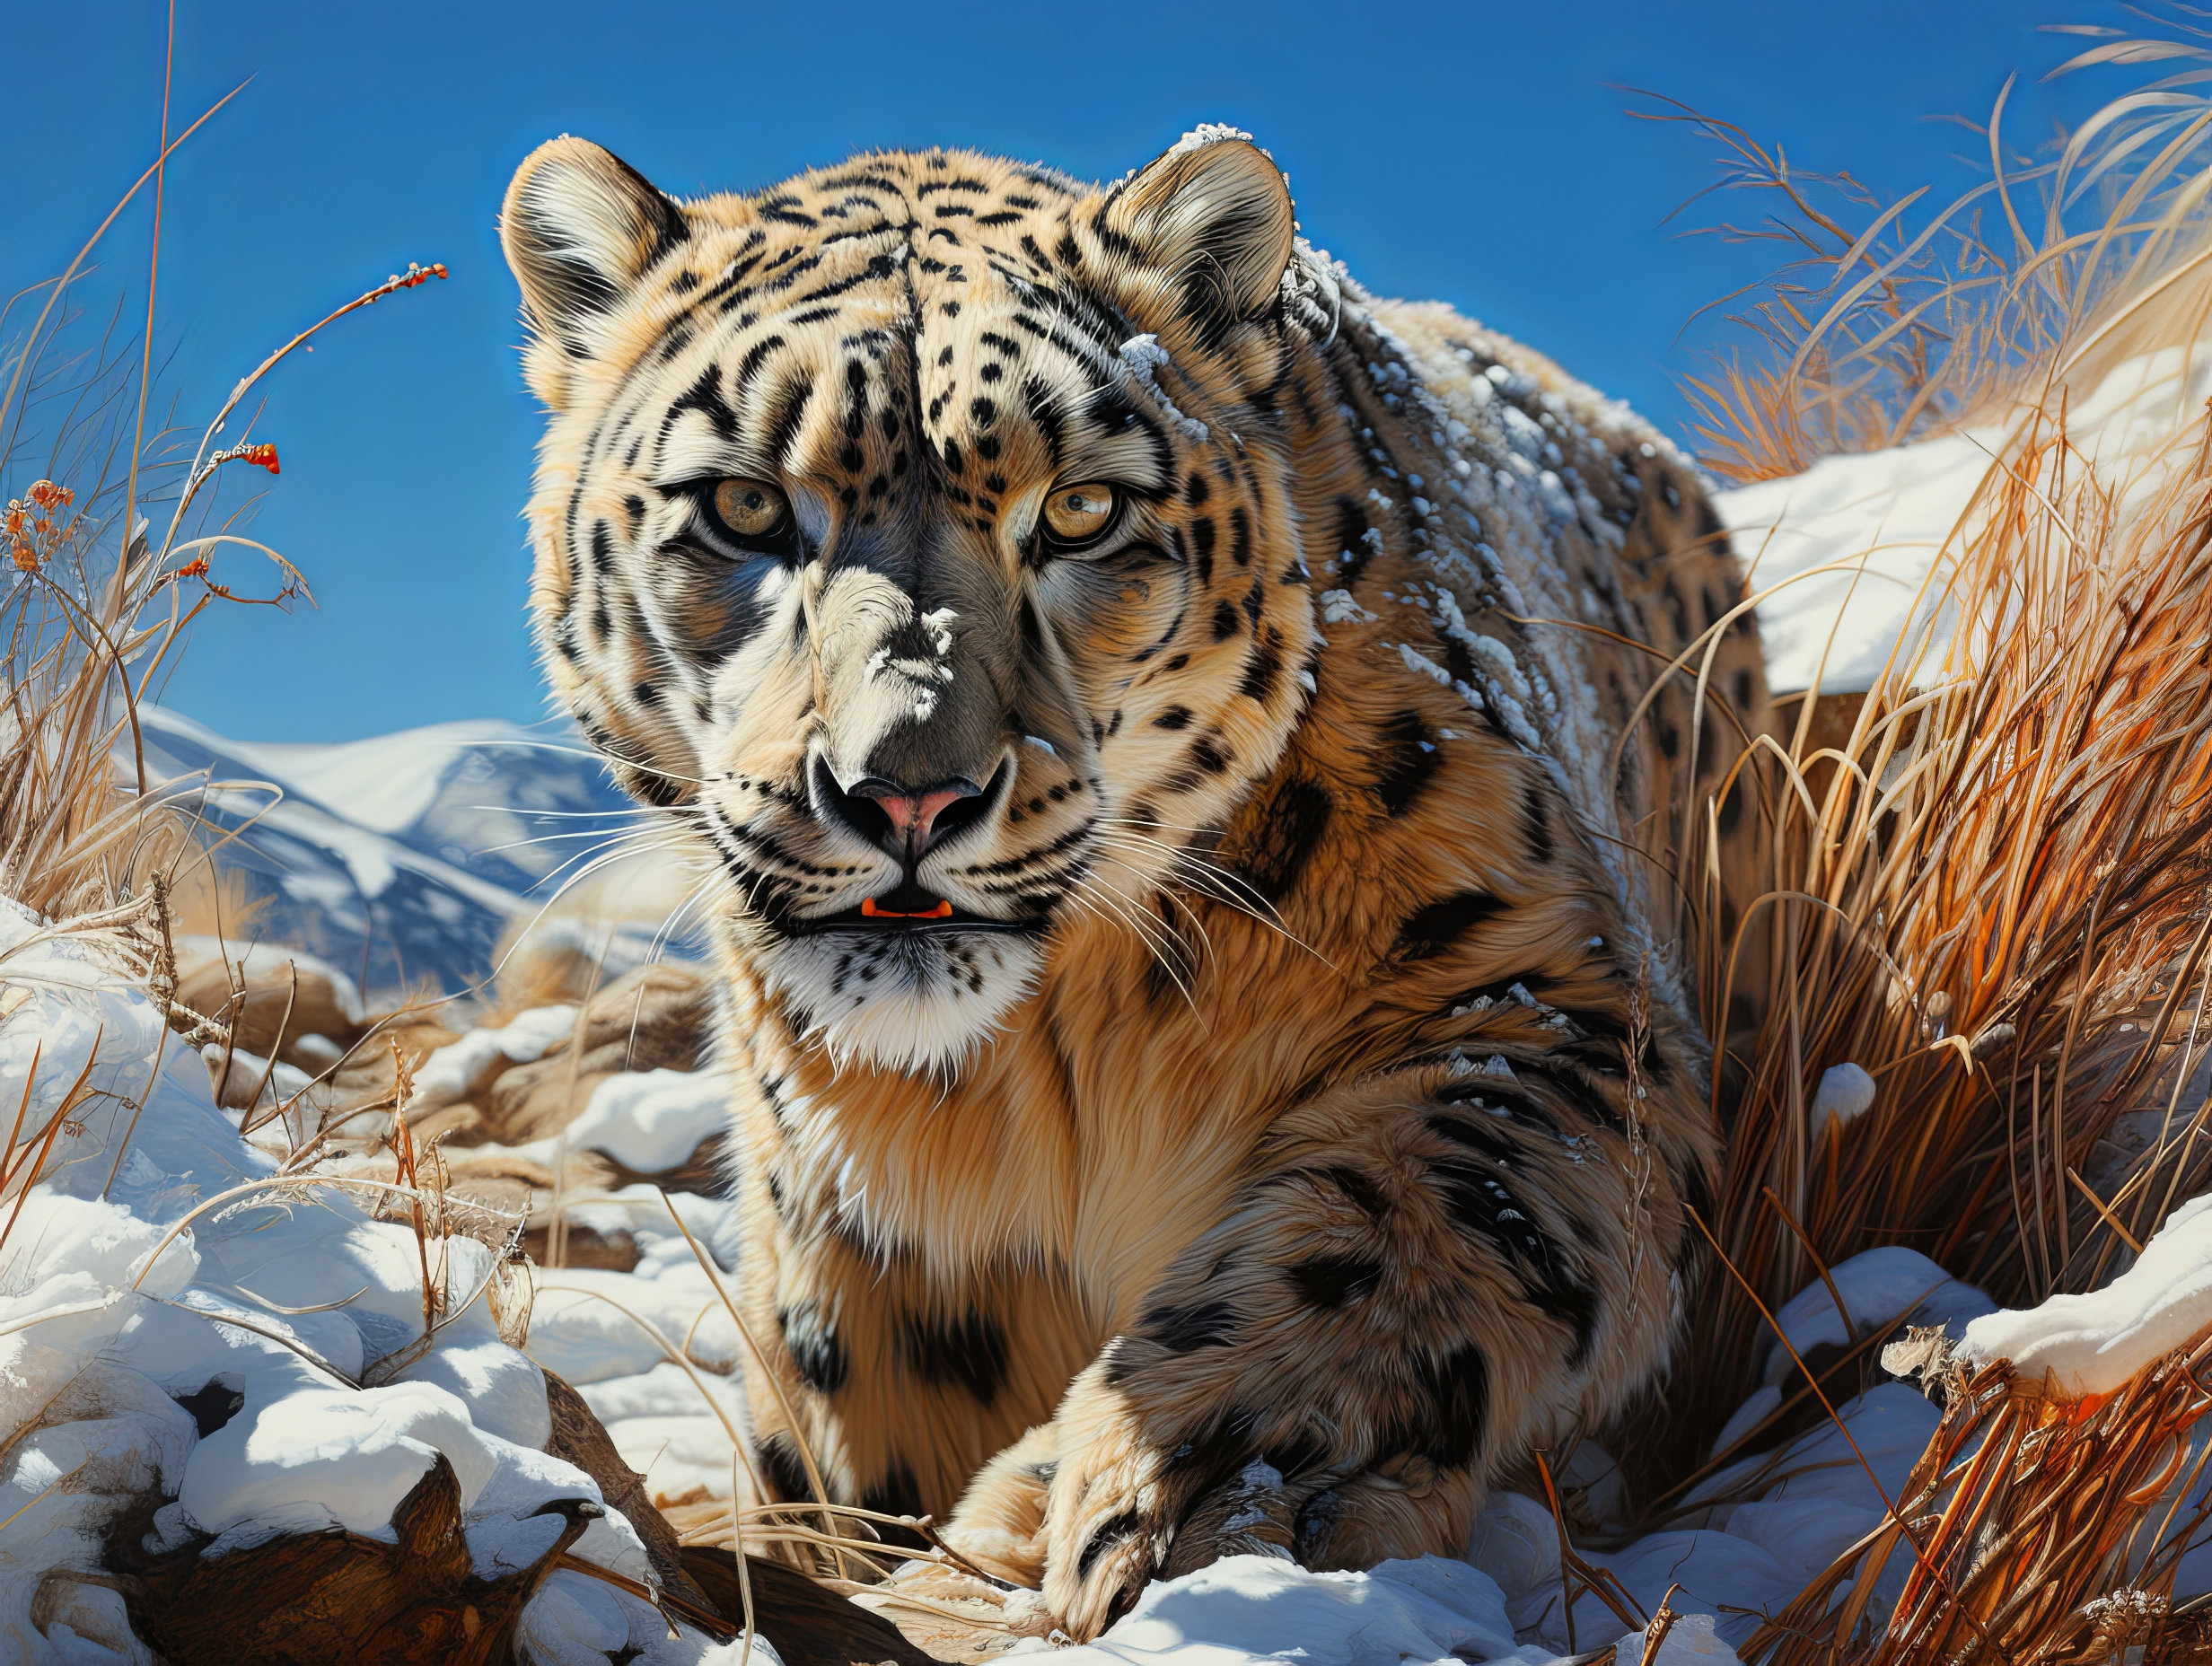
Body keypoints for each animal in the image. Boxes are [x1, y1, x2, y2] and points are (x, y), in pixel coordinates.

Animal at [500, 125, 1770, 1640]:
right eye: (744, 505)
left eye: (1084, 508)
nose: (907, 792)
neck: (1040, 1068)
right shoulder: (856, 1210)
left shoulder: (1539, 998)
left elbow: (1413, 1216)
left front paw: (1168, 1485)